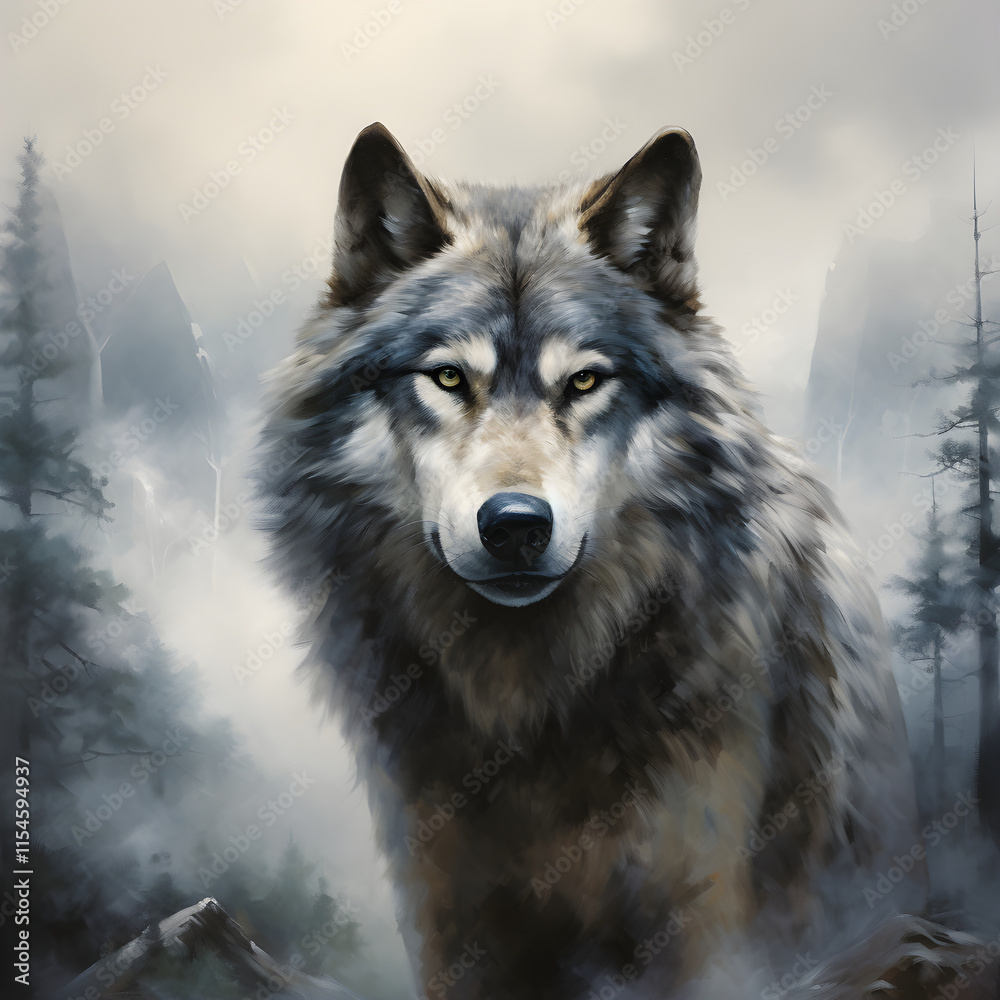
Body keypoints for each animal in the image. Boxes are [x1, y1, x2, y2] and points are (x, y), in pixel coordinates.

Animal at [256, 123, 990, 999]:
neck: (533, 707)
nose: (515, 526)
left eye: (584, 380)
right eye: (448, 377)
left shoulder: (702, 914)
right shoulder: (446, 913)